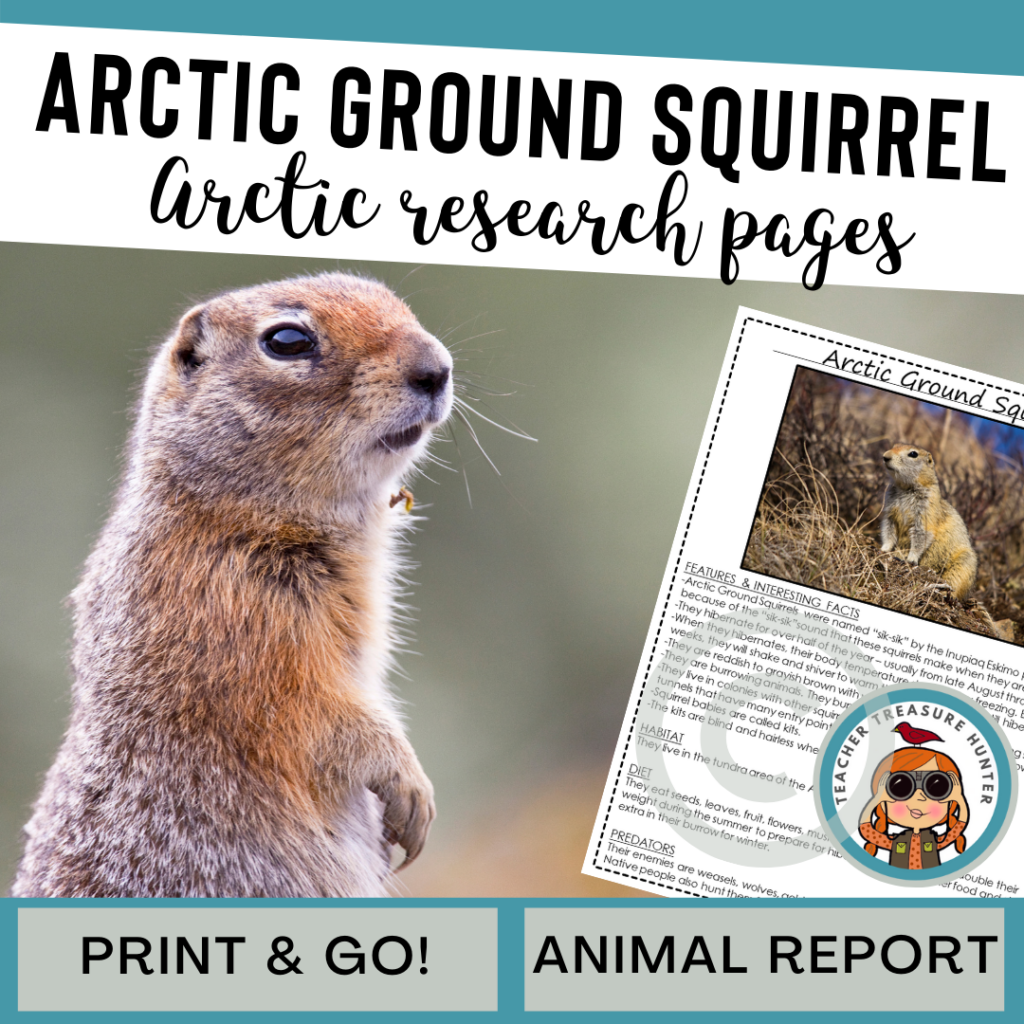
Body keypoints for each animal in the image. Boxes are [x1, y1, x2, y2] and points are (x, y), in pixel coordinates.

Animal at [11, 272, 452, 897]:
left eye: (396, 302)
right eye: (287, 340)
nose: (436, 368)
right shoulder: (232, 615)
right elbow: (304, 708)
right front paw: (410, 787)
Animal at [879, 443, 977, 601]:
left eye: (913, 454)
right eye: (894, 445)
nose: (885, 456)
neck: (905, 488)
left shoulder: (925, 512)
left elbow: (921, 534)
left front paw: (911, 559)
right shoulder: (890, 512)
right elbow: (888, 530)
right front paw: (884, 549)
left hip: (964, 564)